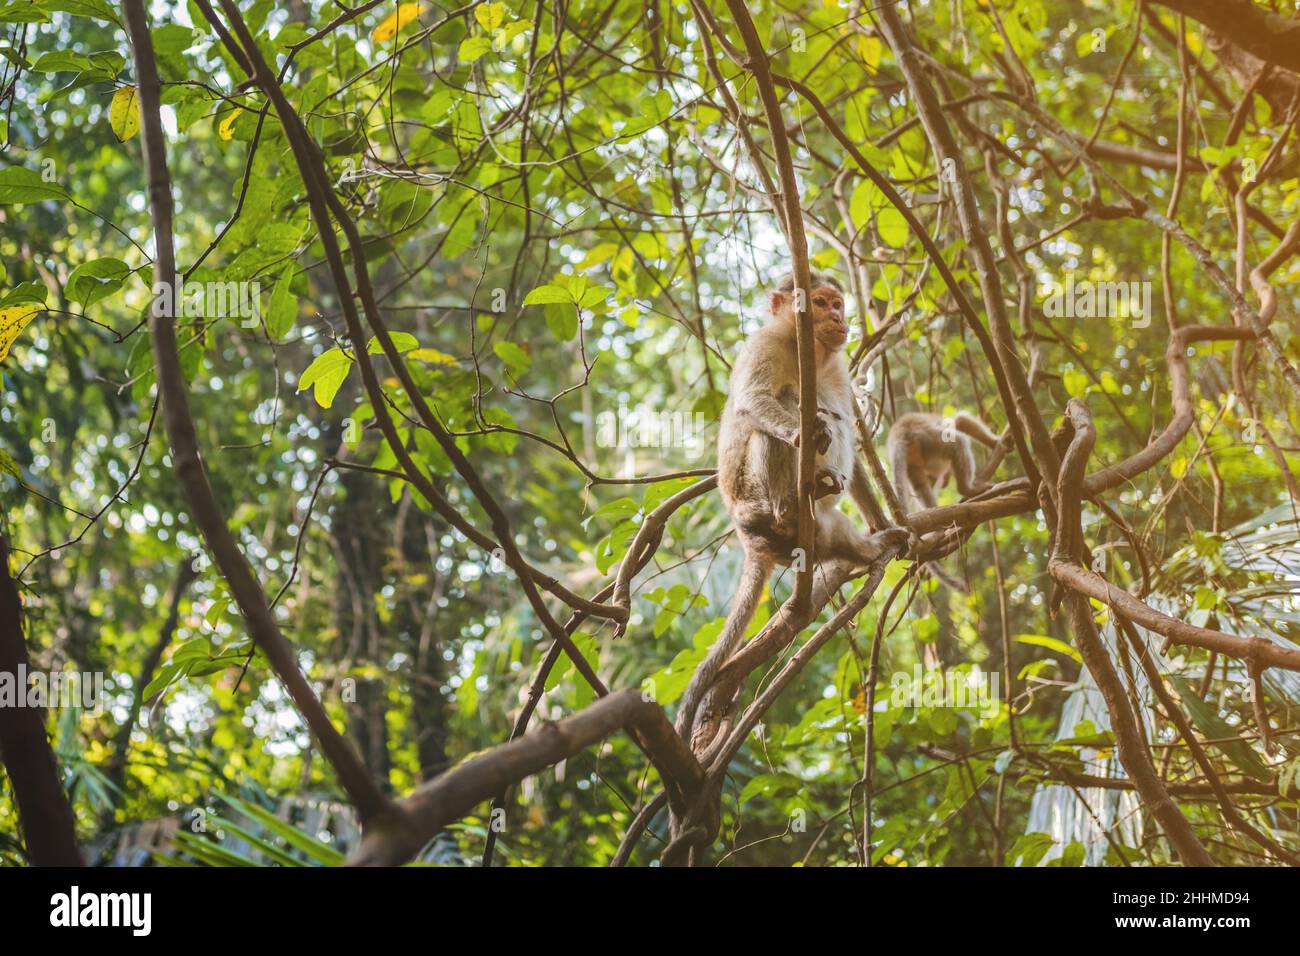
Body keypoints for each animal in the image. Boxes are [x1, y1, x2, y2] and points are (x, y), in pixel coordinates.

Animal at [675, 270, 909, 747]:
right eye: (819, 303)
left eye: (836, 303)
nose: (837, 316)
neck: (811, 356)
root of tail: (750, 537)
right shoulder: (765, 343)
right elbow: (756, 401)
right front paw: (805, 435)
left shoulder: (837, 368)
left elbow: (852, 434)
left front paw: (880, 521)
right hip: (752, 500)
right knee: (778, 415)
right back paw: (790, 504)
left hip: (820, 530)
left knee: (835, 524)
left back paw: (866, 547)